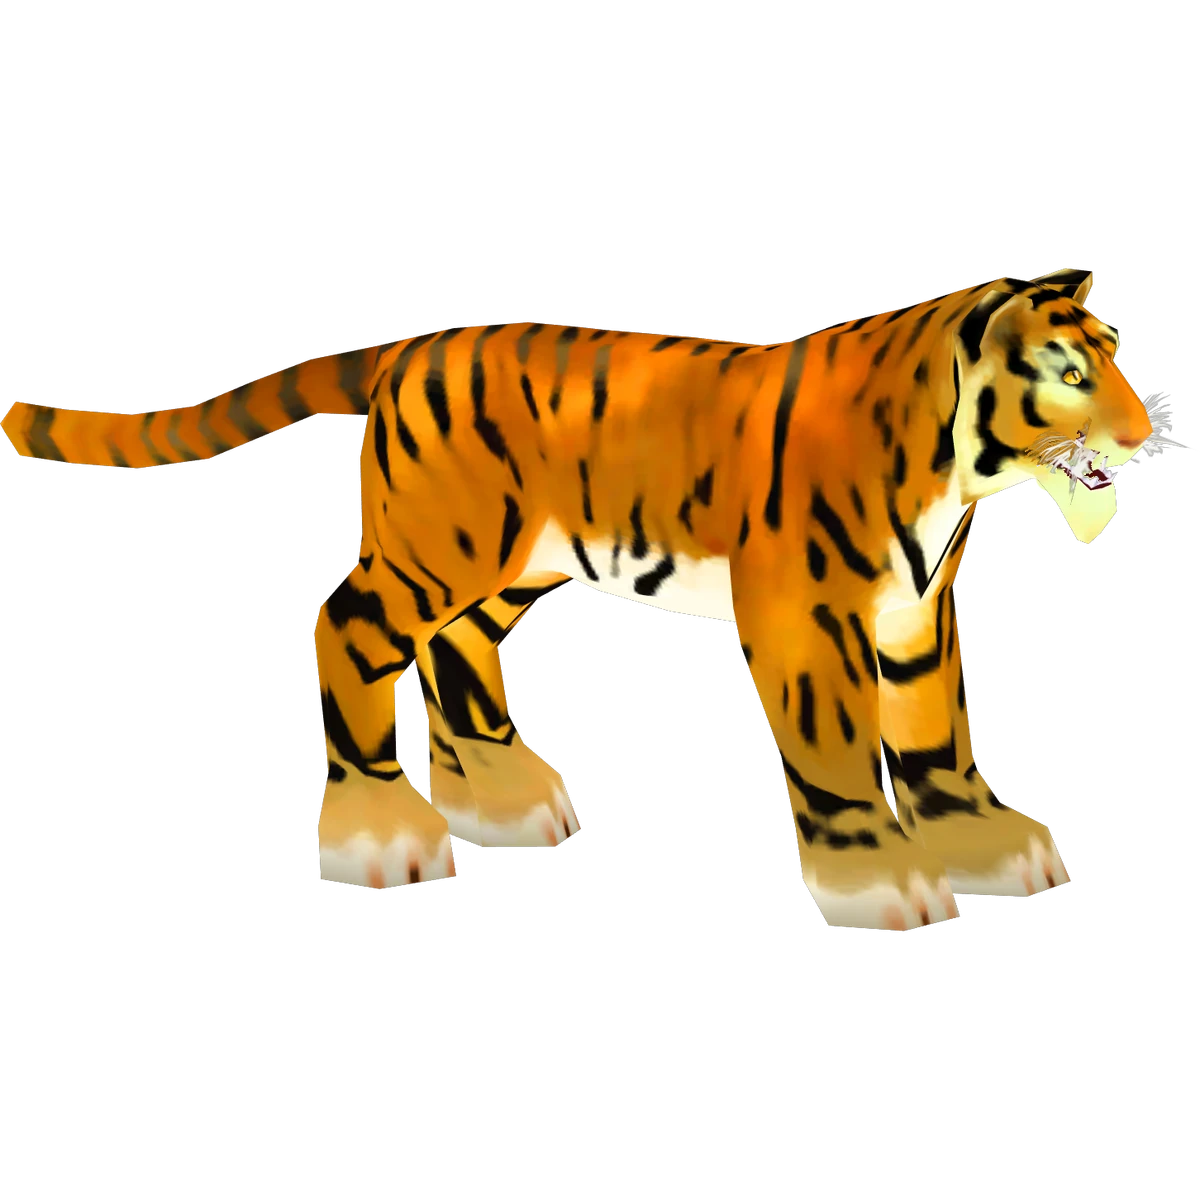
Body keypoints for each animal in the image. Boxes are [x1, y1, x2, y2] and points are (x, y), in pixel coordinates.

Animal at [1, 266, 1179, 929]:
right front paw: (876, 880)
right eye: (1073, 374)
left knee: (458, 652)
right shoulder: (810, 617)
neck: (959, 465)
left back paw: (499, 797)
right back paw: (376, 831)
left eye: (1118, 358)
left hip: (512, 563)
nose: (1141, 433)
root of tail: (408, 344)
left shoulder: (914, 613)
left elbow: (935, 735)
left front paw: (987, 844)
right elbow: (840, 751)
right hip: (438, 547)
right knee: (349, 622)